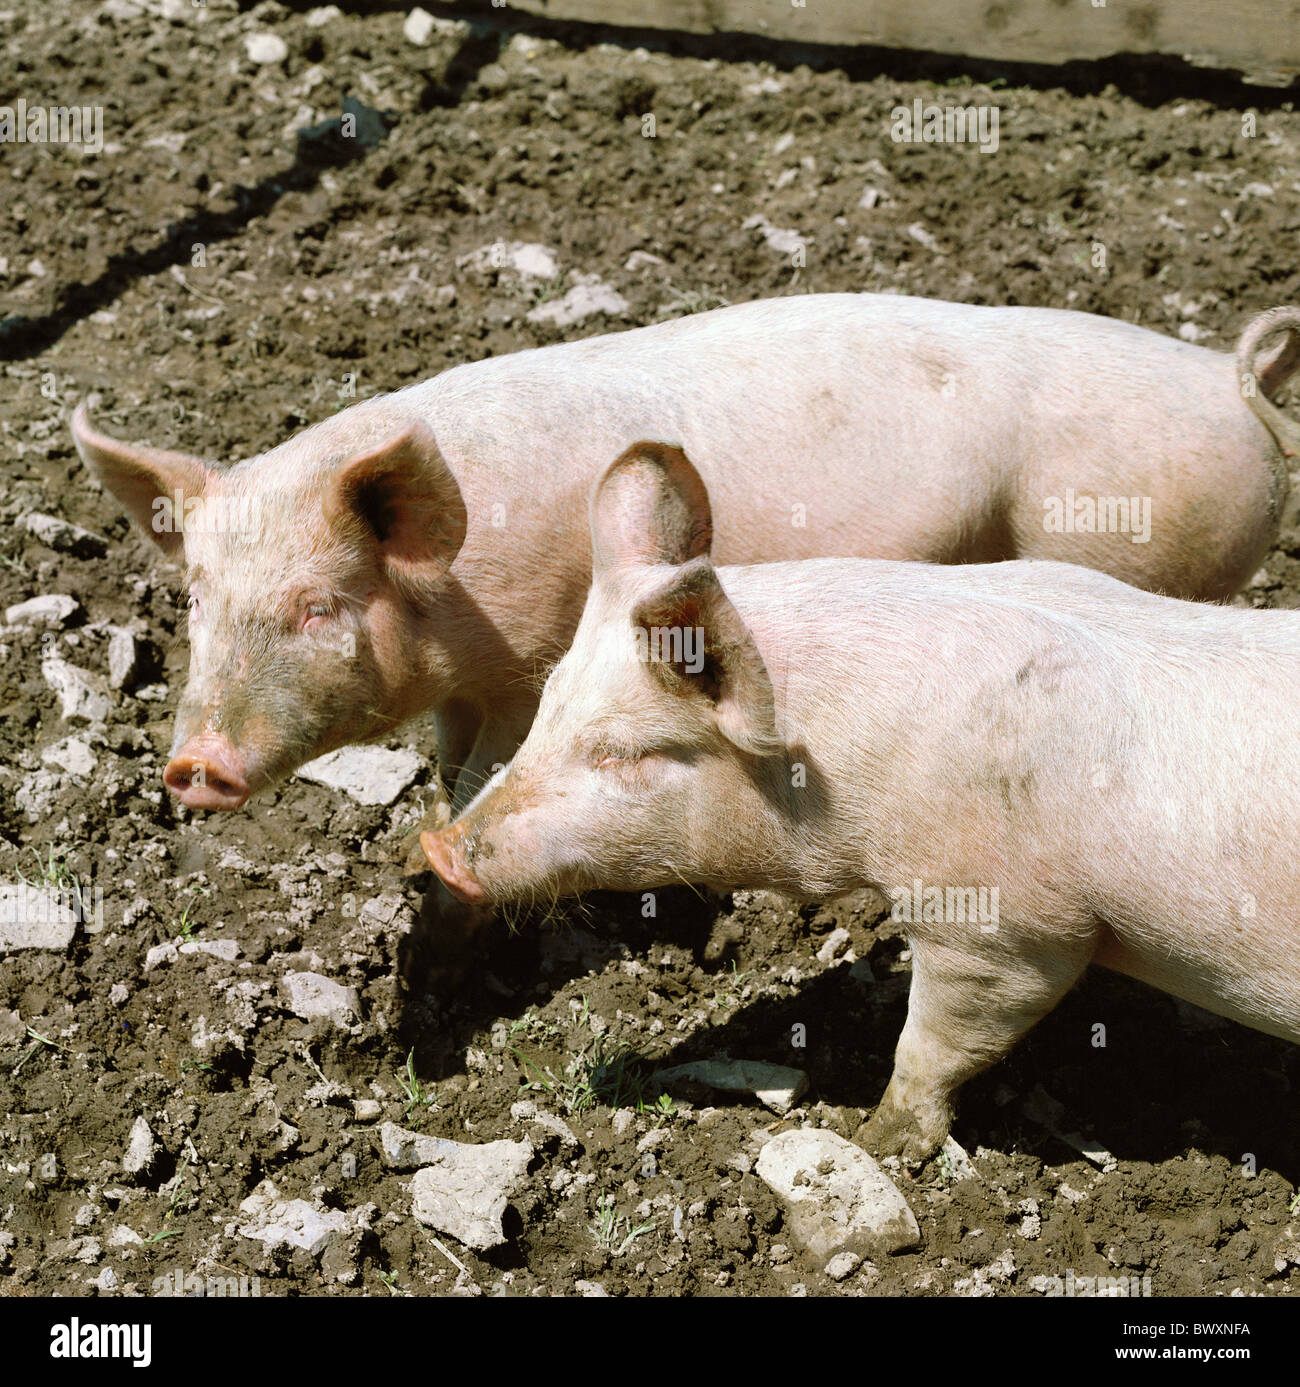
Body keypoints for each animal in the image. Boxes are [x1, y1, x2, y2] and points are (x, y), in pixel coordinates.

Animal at [73, 294, 1300, 831]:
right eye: (197, 600)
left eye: (321, 607)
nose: (193, 767)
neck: (458, 599)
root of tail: (1226, 380)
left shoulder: (528, 660)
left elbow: (486, 767)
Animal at [421, 442, 1300, 1160]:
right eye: (548, 703)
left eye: (625, 752)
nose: (437, 847)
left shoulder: (1007, 924)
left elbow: (937, 1038)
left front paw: (877, 1140)